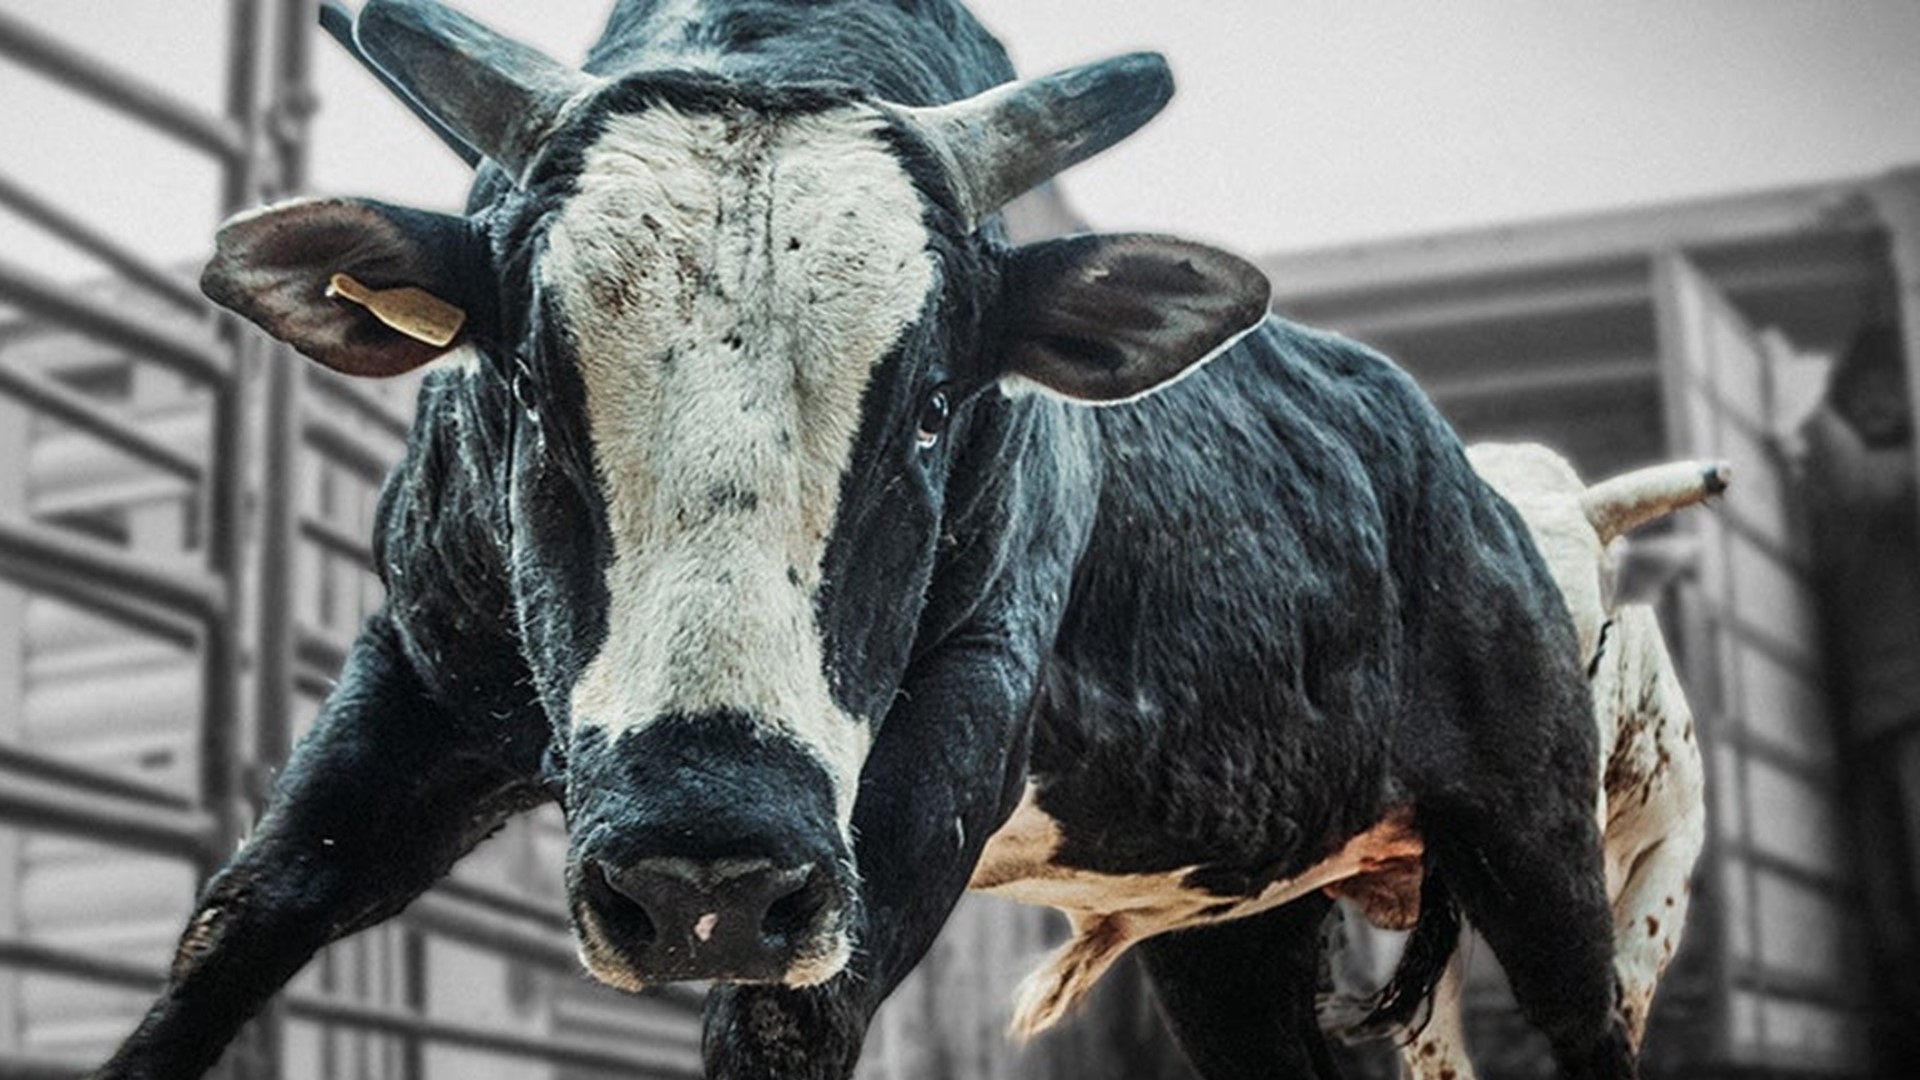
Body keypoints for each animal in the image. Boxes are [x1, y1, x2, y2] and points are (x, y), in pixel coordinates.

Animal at [89, 2, 1636, 1078]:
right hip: (1230, 930)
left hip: (1541, 840)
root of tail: (1465, 478)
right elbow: (236, 923)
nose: (699, 879)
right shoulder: (408, 678)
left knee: (1591, 1015)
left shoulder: (945, 739)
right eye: (526, 383)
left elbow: (784, 1022)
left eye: (936, 404)